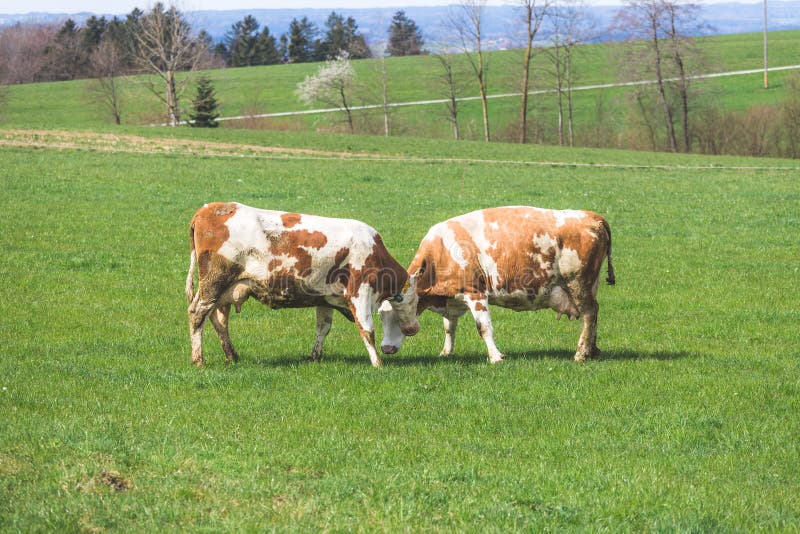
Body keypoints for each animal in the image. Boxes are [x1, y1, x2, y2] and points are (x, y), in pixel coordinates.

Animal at [185, 202, 420, 367]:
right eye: (415, 302)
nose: (414, 329)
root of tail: (207, 209)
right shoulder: (359, 291)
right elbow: (367, 329)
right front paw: (378, 363)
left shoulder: (325, 298)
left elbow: (323, 328)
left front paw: (315, 357)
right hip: (214, 282)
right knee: (197, 314)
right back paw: (198, 360)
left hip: (225, 290)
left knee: (218, 320)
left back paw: (232, 356)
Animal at [379, 206, 615, 363]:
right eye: (381, 316)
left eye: (398, 313)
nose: (386, 349)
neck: (440, 253)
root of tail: (592, 216)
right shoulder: (452, 297)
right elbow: (449, 327)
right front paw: (446, 352)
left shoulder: (475, 293)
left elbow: (483, 327)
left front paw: (495, 357)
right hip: (589, 286)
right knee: (593, 315)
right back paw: (592, 349)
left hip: (578, 283)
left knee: (589, 314)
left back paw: (581, 353)